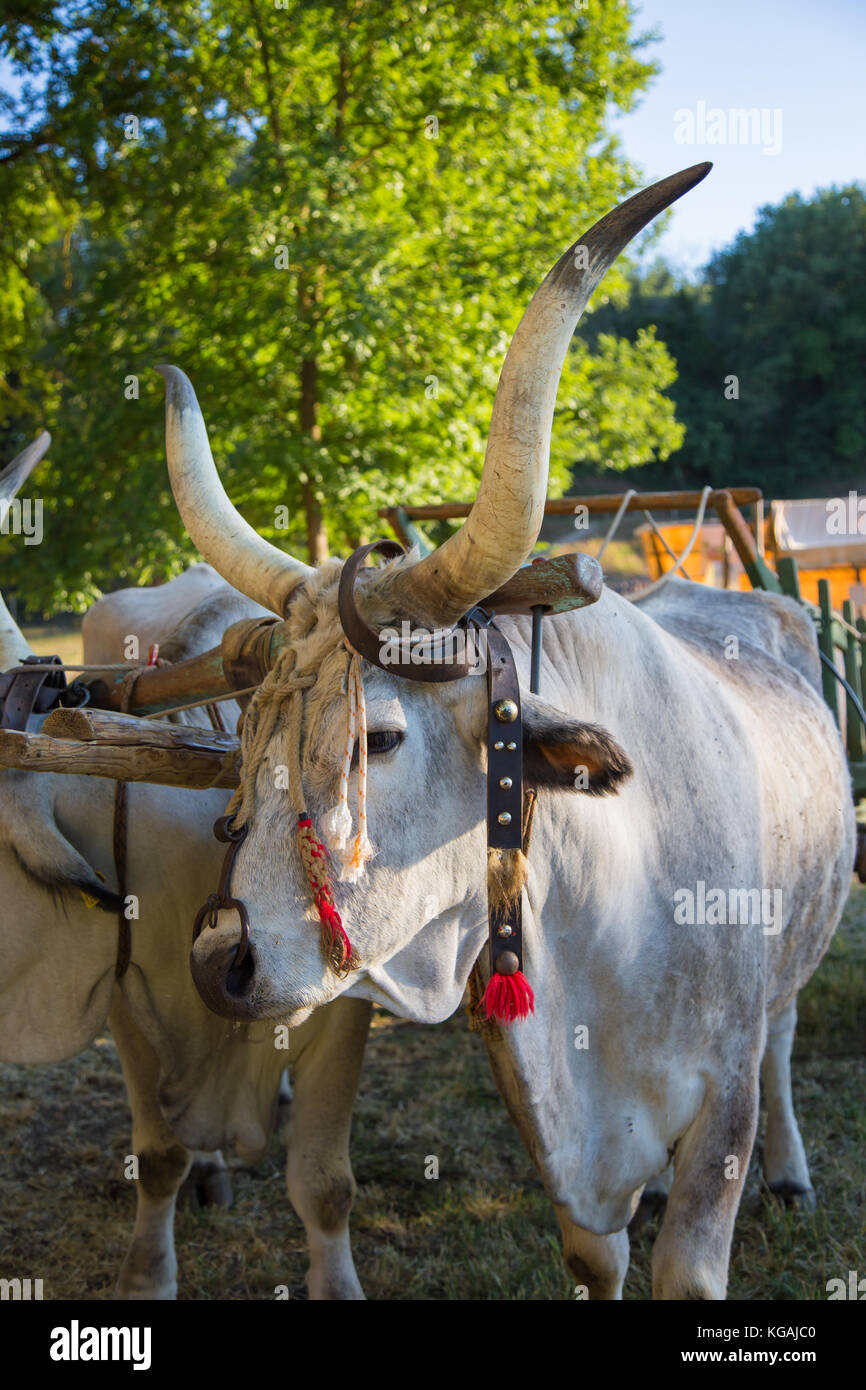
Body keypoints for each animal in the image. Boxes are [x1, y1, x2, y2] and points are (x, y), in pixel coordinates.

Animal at [162, 162, 854, 1299]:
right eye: (250, 731)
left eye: (377, 740)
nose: (221, 963)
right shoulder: (559, 1135)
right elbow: (594, 1255)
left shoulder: (719, 1105)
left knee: (786, 1038)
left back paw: (792, 1173)